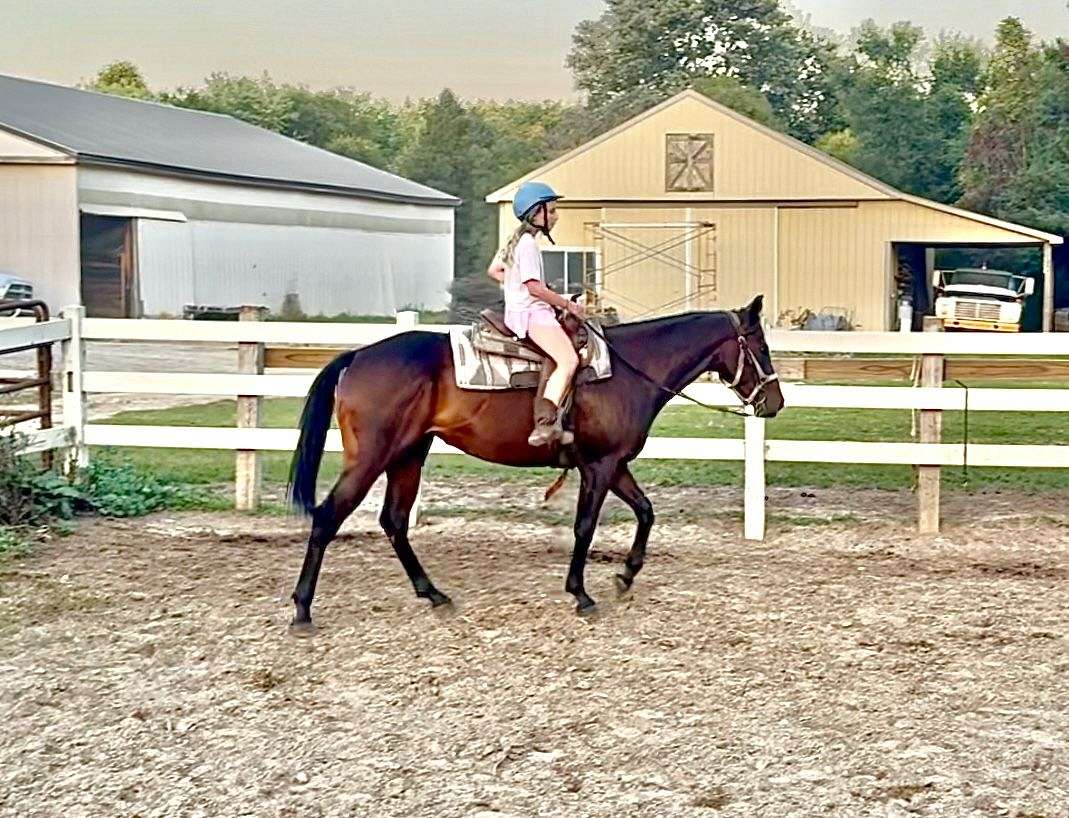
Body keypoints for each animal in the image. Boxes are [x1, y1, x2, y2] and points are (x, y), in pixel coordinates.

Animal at [287, 295, 784, 628]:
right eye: (761, 347)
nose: (775, 402)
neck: (630, 368)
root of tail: (358, 354)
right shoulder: (600, 467)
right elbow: (585, 527)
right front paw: (581, 594)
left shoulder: (613, 464)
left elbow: (645, 511)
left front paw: (625, 575)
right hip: (371, 458)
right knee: (328, 517)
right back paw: (303, 610)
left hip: (409, 456)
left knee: (394, 521)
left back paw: (434, 595)